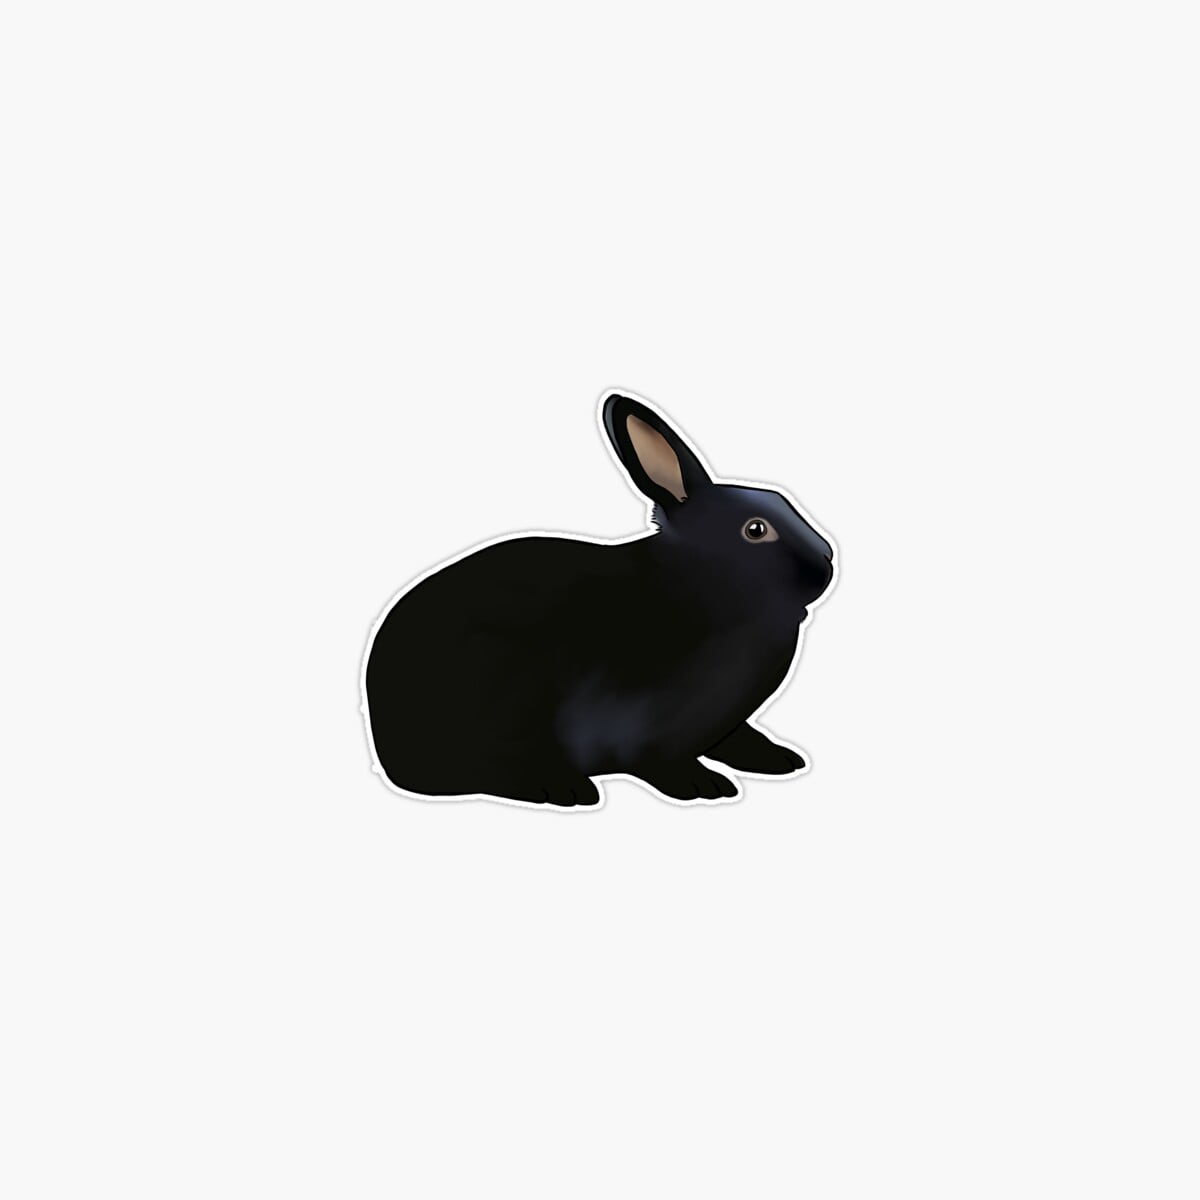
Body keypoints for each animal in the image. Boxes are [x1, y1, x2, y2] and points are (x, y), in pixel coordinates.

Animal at [362, 390, 836, 808]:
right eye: (755, 530)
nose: (828, 562)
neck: (702, 583)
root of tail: (385, 747)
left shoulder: (726, 722)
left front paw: (781, 759)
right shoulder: (644, 722)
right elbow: (652, 758)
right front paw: (700, 784)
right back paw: (562, 788)